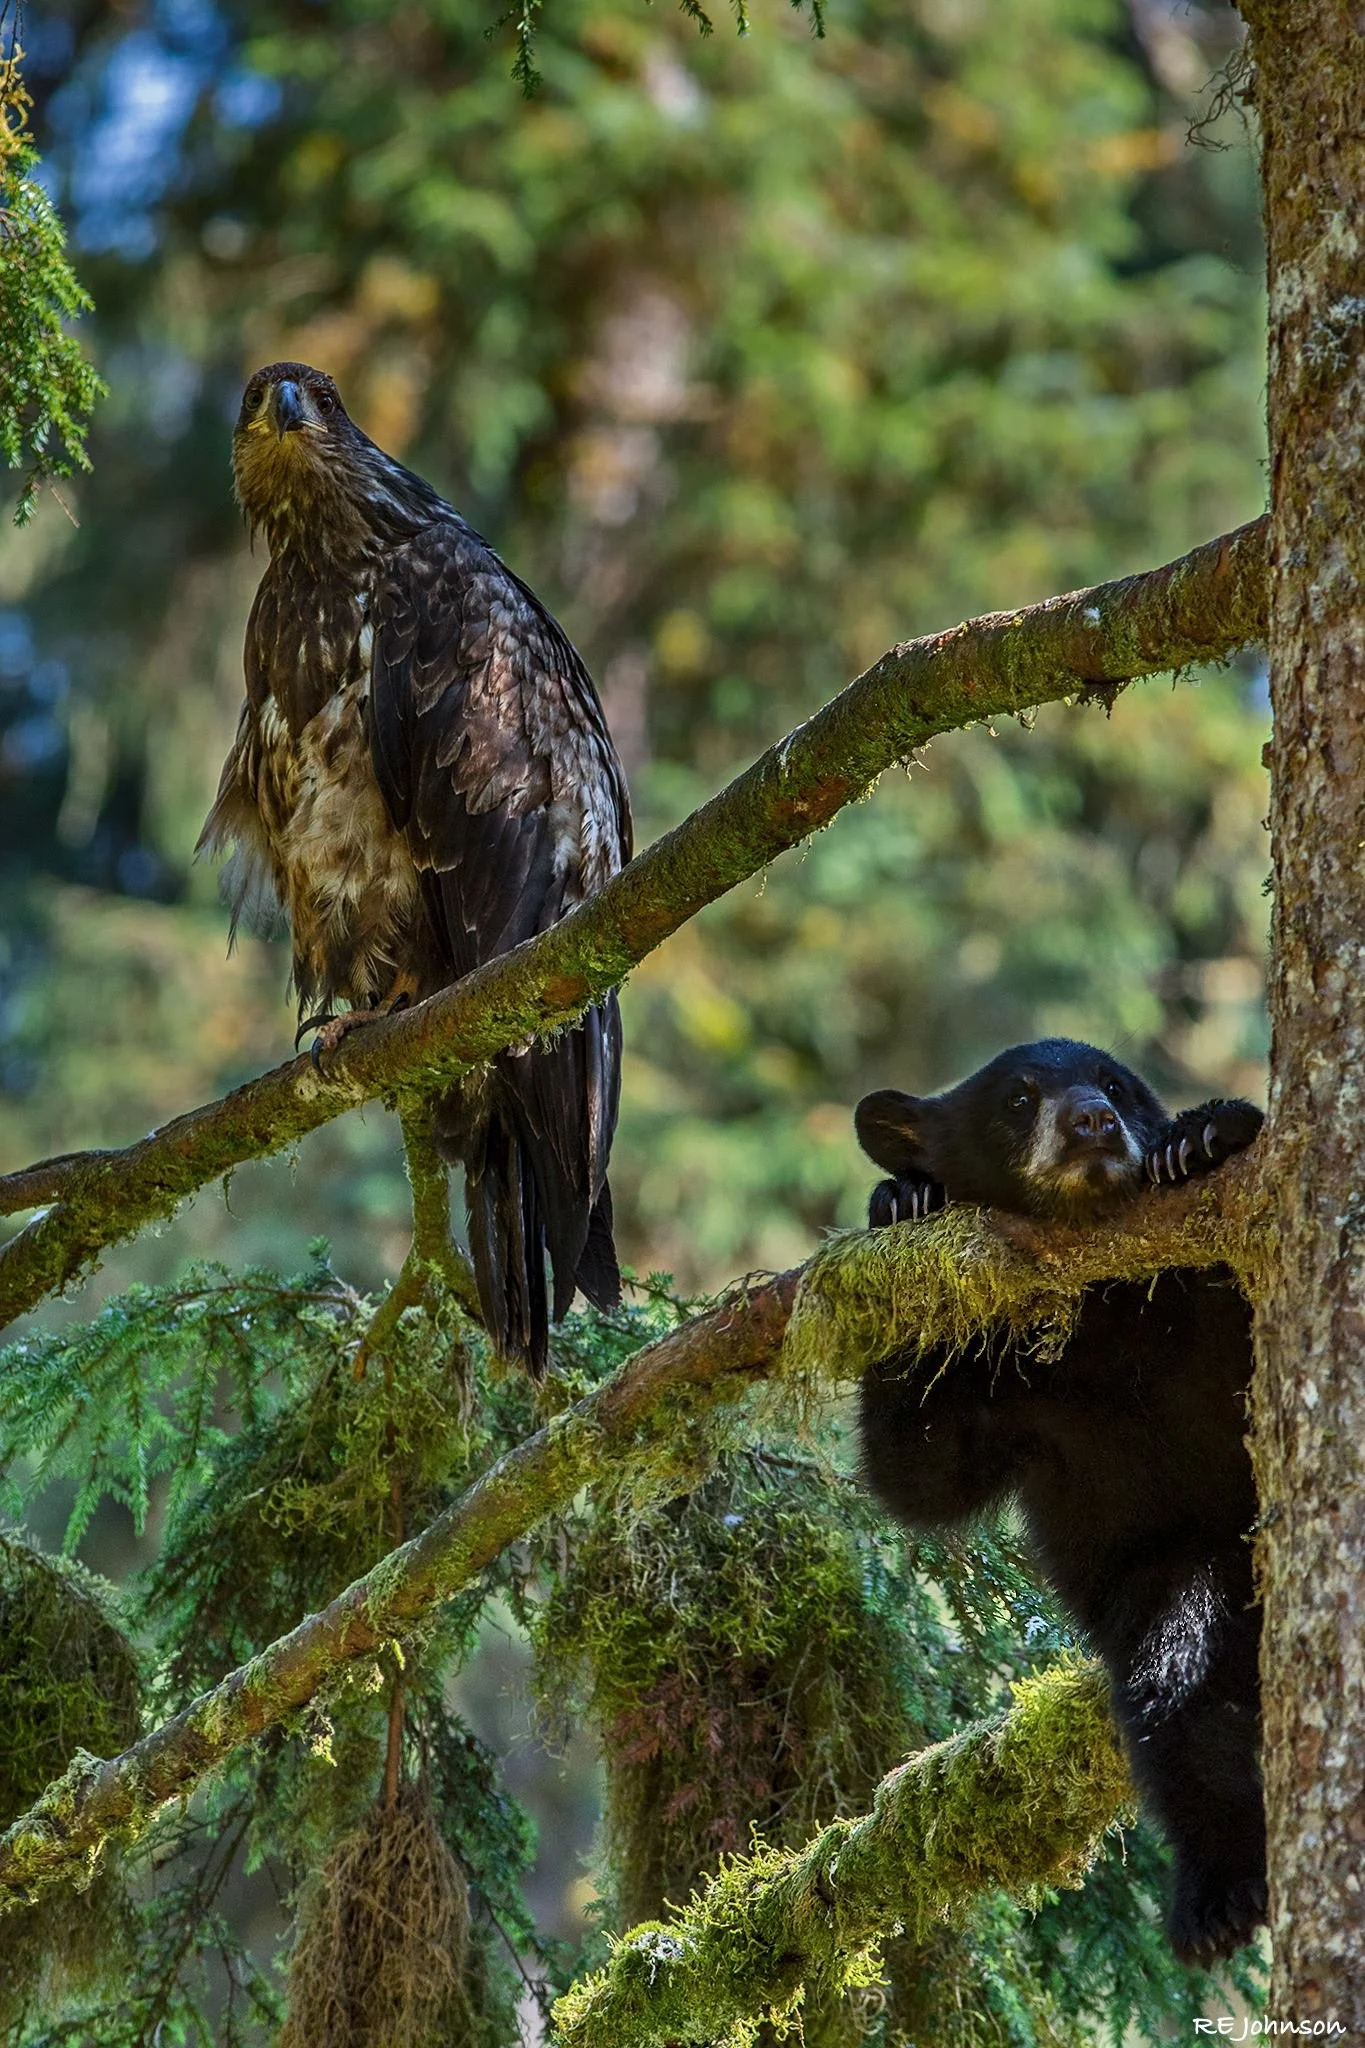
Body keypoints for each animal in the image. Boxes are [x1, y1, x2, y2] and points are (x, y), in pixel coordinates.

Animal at [853, 1037, 1265, 1966]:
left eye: (1114, 1083)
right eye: (1015, 1098)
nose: (1092, 1122)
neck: (1101, 1307)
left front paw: (1203, 1134)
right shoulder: (1008, 1377)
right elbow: (922, 1476)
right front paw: (900, 1202)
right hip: (1180, 1572)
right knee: (1183, 1694)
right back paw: (1218, 1898)